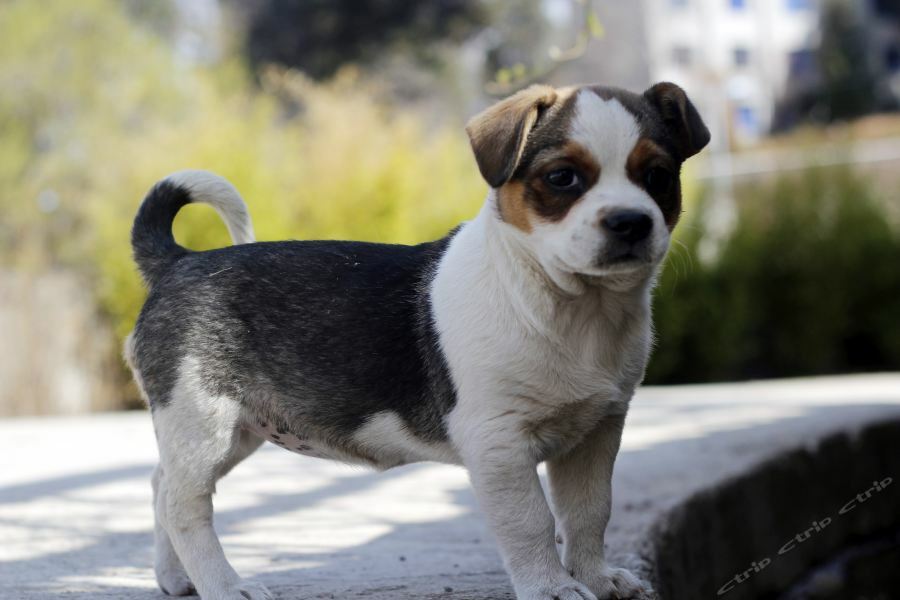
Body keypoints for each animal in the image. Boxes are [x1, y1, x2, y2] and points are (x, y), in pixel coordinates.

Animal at [125, 81, 712, 600]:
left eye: (657, 176)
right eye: (563, 177)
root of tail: (179, 261)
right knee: (184, 506)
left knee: (160, 487)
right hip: (203, 420)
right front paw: (551, 588)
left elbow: (588, 514)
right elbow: (531, 522)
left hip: (236, 430)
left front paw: (596, 579)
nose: (631, 222)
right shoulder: (498, 441)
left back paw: (176, 579)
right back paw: (225, 586)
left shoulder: (597, 431)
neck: (572, 307)